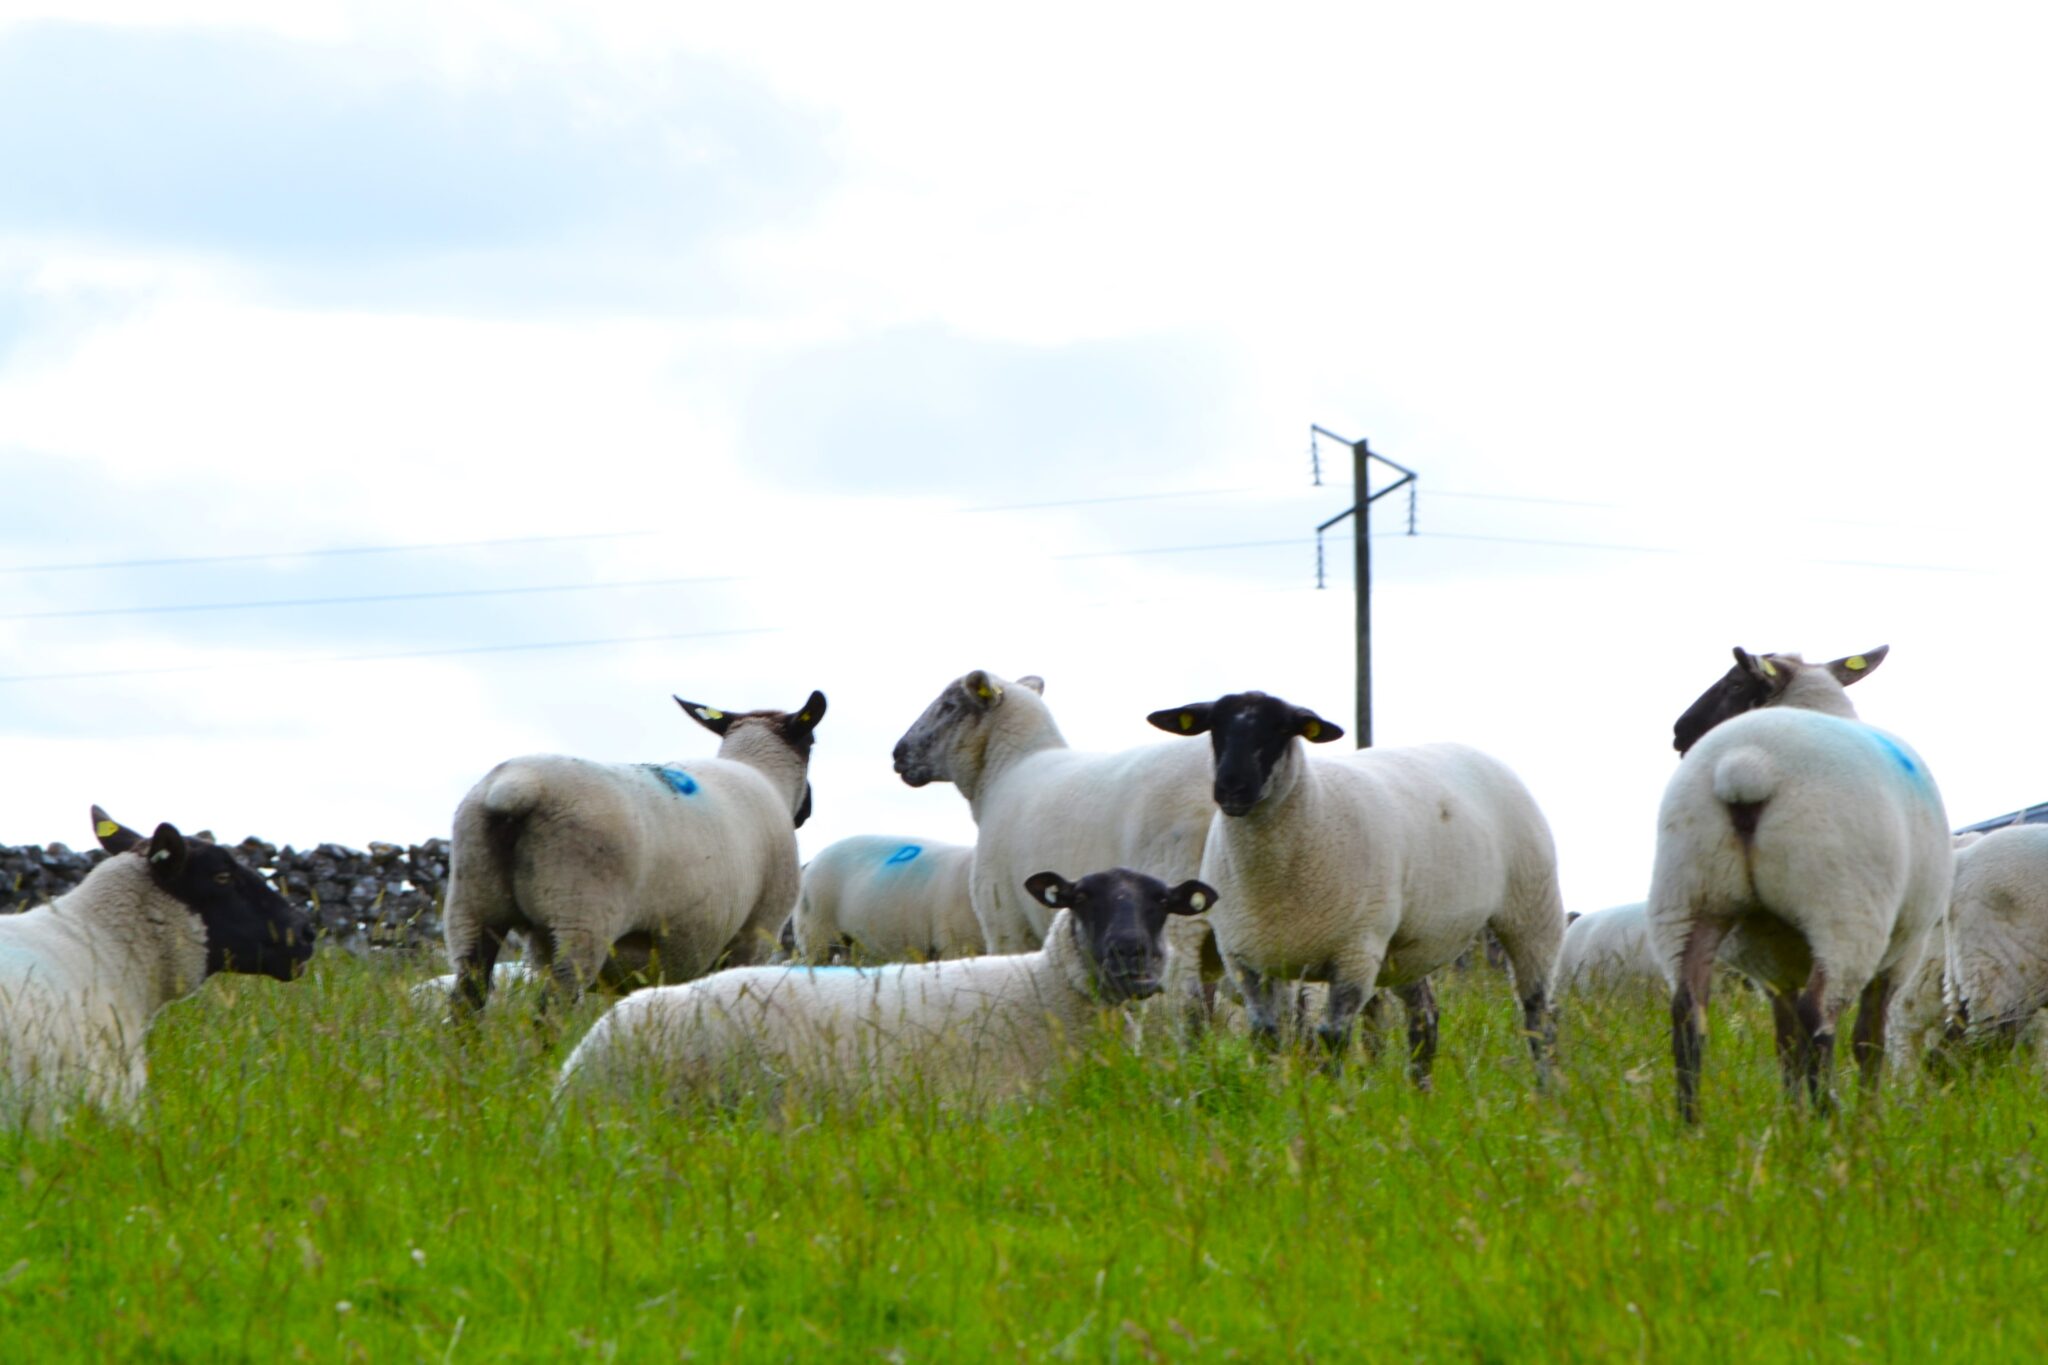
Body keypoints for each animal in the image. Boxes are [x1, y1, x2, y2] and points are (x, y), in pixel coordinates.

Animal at [442, 690, 826, 1016]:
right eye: (811, 744)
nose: (806, 811)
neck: (764, 773)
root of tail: (516, 790)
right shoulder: (756, 932)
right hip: (580, 914)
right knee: (554, 1005)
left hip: (472, 904)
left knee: (467, 997)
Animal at [1145, 691, 1565, 1084]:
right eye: (1214, 727)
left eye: (1281, 729)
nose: (1232, 788)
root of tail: (1475, 752)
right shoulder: (1245, 959)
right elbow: (1266, 1036)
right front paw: (1273, 1093)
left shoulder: (1354, 954)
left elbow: (1333, 1037)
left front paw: (1330, 1097)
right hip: (1406, 947)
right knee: (1425, 1017)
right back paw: (1420, 1093)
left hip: (1533, 911)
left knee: (1538, 1017)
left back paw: (1545, 1092)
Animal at [1649, 646, 1951, 1120]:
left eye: (1735, 683)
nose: (1680, 733)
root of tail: (1747, 763)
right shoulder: (1904, 951)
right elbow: (1868, 1042)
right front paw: (1866, 1119)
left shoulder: (1773, 966)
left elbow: (1786, 1045)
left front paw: (1793, 1121)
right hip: (1844, 909)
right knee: (1820, 1016)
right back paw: (1833, 1121)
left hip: (1686, 896)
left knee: (1687, 1011)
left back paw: (1690, 1125)